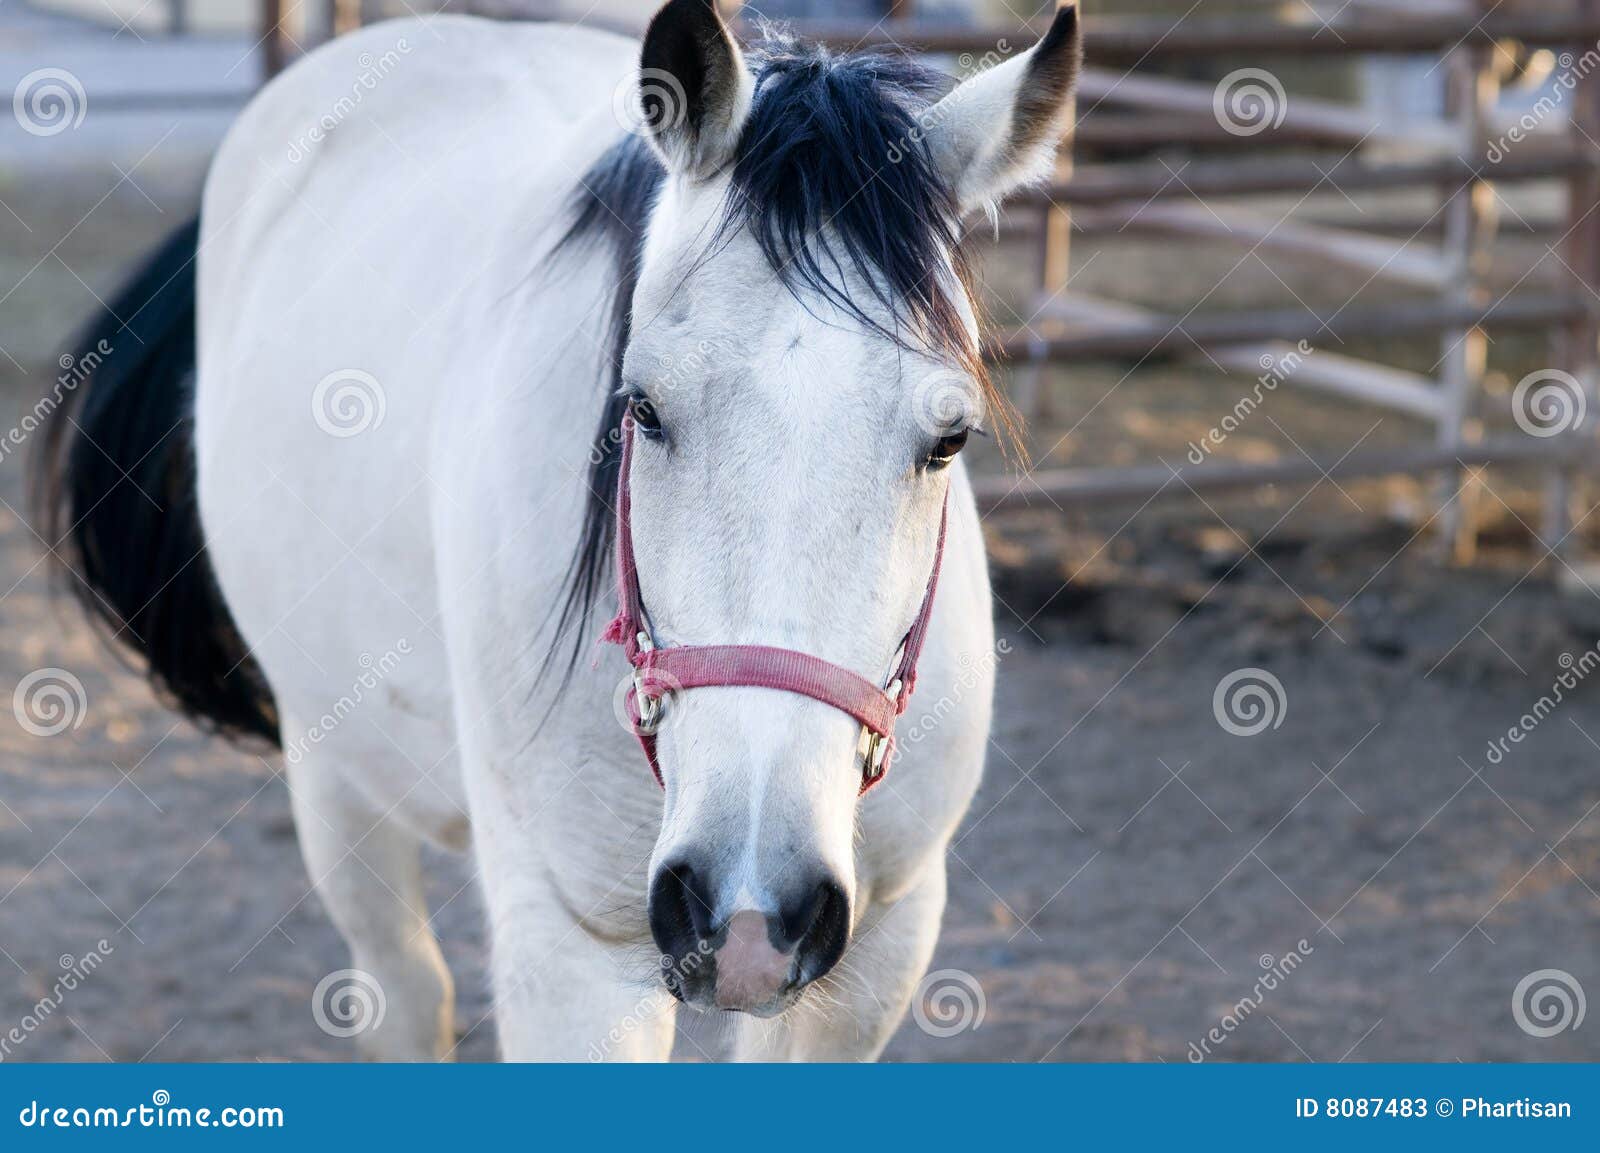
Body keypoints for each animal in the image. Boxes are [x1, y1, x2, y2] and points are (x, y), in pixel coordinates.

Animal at [34, 0, 1081, 1060]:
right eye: (642, 408)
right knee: (405, 989)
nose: (749, 903)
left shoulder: (876, 955)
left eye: (949, 438)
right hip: (332, 774)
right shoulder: (571, 958)